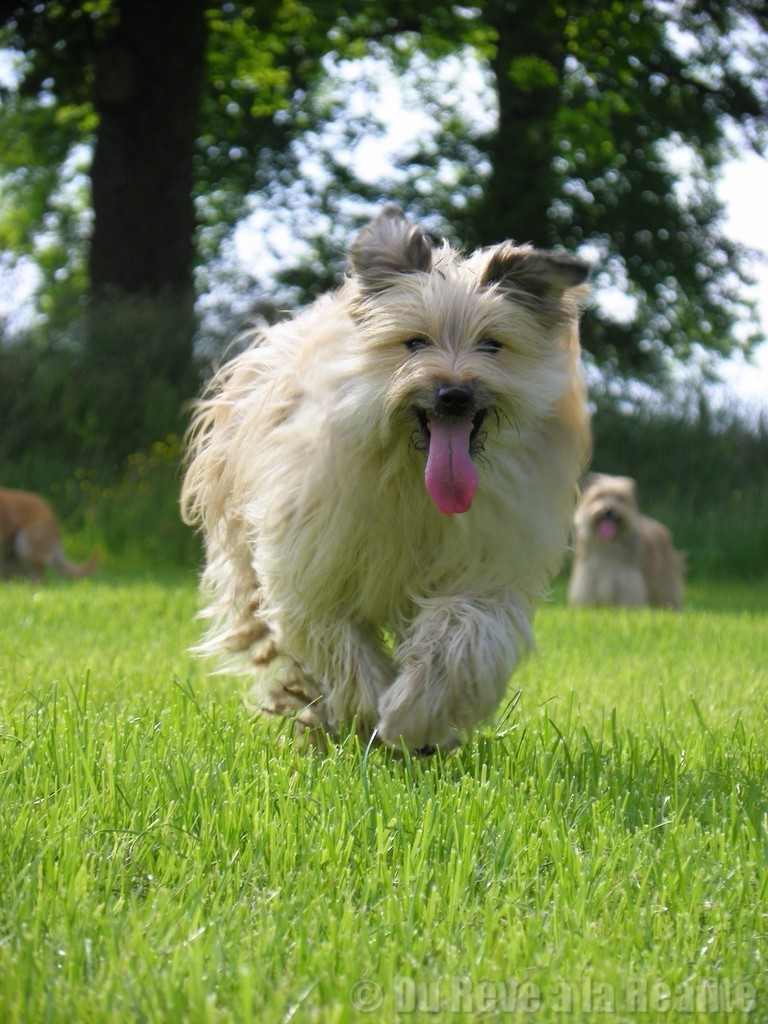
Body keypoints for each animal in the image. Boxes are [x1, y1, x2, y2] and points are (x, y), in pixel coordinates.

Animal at [183, 207, 593, 753]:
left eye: (492, 344)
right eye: (414, 342)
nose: (454, 395)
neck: (414, 482)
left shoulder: (485, 575)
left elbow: (463, 635)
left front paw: (413, 714)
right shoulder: (310, 568)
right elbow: (338, 646)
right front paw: (371, 709)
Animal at [565, 471, 684, 606]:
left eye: (620, 498)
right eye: (600, 496)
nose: (609, 510)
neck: (609, 544)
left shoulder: (627, 578)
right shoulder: (589, 576)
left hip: (663, 578)